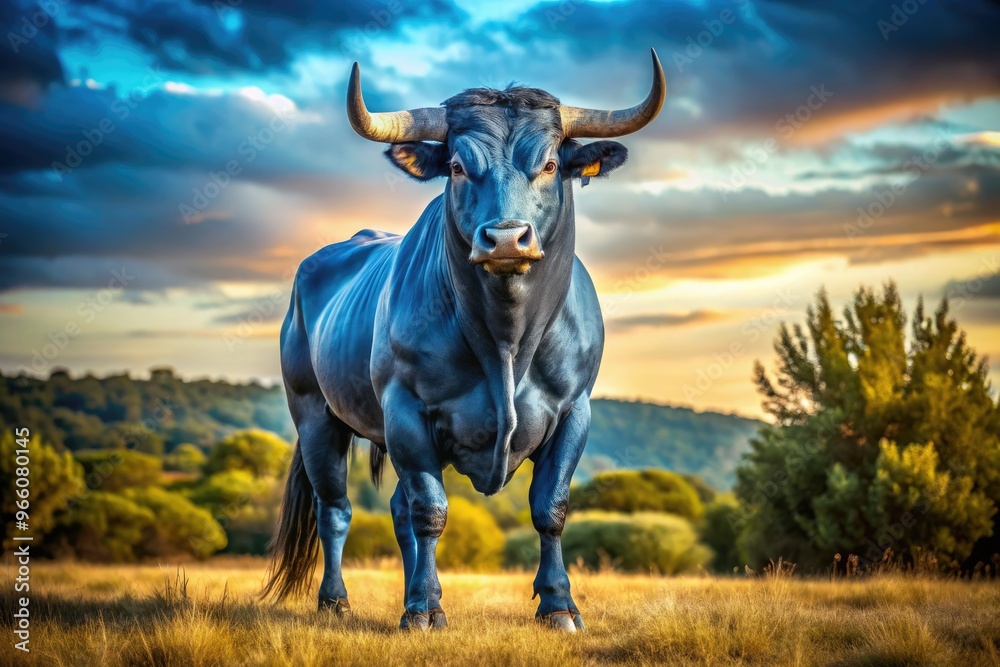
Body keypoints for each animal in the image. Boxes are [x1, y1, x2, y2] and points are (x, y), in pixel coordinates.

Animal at [262, 50, 665, 632]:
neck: (506, 342)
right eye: (456, 166)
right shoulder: (406, 411)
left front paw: (559, 606)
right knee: (335, 509)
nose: (506, 239)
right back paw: (336, 601)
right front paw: (425, 611)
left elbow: (550, 508)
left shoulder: (574, 410)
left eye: (550, 164)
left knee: (397, 510)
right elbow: (432, 511)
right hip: (315, 414)